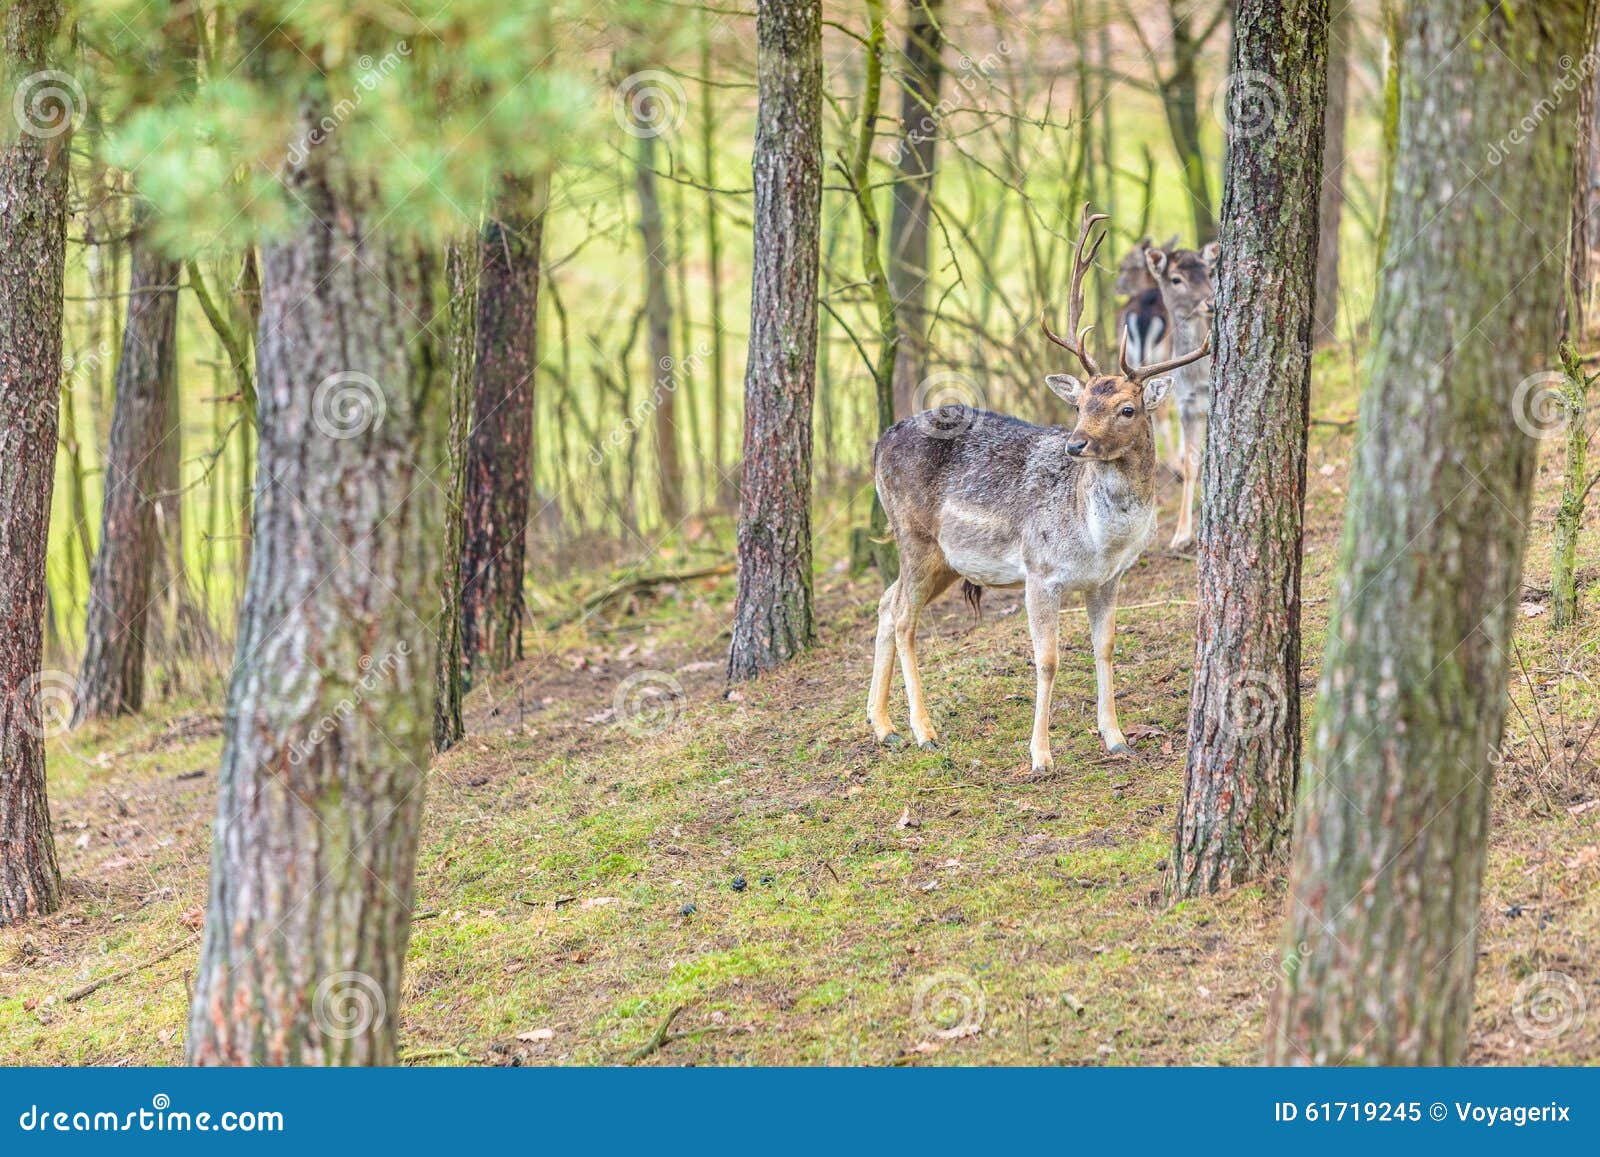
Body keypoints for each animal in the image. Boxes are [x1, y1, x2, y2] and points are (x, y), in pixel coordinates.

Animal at [867, 206, 1211, 771]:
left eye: (1127, 408)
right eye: (1081, 404)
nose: (1076, 445)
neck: (1098, 538)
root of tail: (878, 443)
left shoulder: (1109, 579)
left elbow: (1104, 649)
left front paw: (1116, 737)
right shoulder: (1040, 572)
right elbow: (1046, 660)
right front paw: (1041, 756)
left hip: (944, 559)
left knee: (884, 601)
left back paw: (882, 725)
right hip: (913, 535)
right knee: (902, 618)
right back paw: (923, 730)